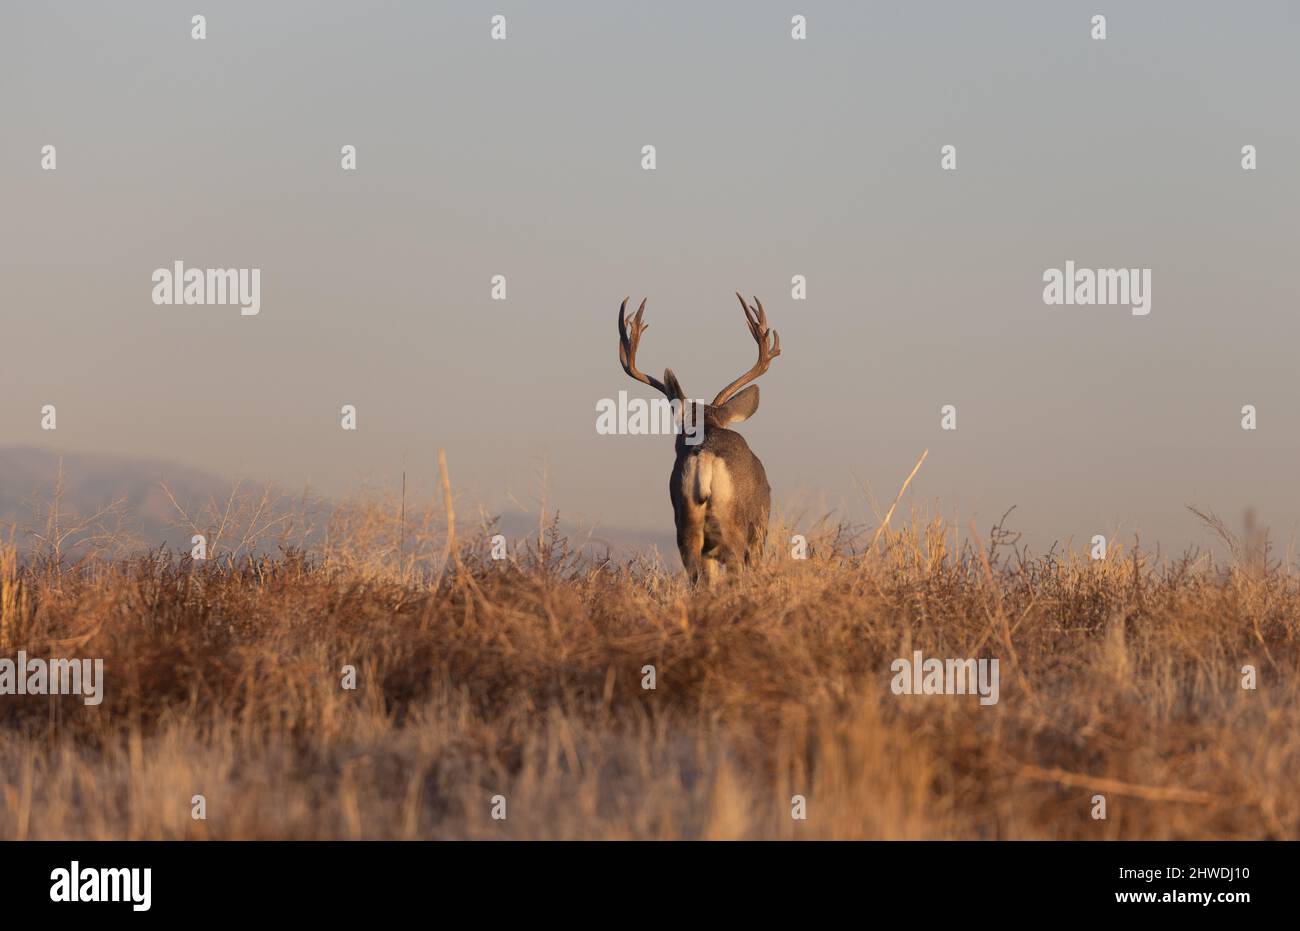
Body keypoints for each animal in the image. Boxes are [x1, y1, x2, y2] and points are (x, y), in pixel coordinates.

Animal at [617, 293, 782, 584]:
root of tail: (705, 454)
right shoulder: (760, 533)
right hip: (735, 528)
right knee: (734, 572)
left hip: (685, 523)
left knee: (696, 575)